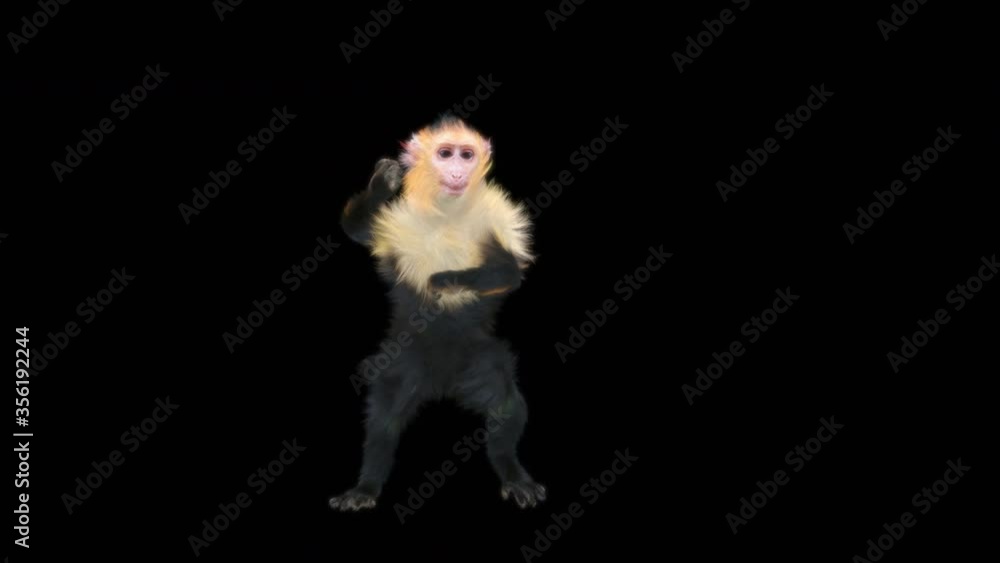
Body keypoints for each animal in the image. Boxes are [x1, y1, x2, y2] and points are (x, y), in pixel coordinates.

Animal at [329, 116, 546, 511]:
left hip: (479, 357)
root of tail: (444, 381)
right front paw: (380, 184)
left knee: (506, 403)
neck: (448, 211)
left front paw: (445, 279)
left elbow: (508, 273)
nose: (458, 171)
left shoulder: (500, 215)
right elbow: (356, 231)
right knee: (384, 417)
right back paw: (367, 486)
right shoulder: (399, 223)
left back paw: (512, 472)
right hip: (407, 360)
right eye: (445, 154)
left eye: (466, 154)